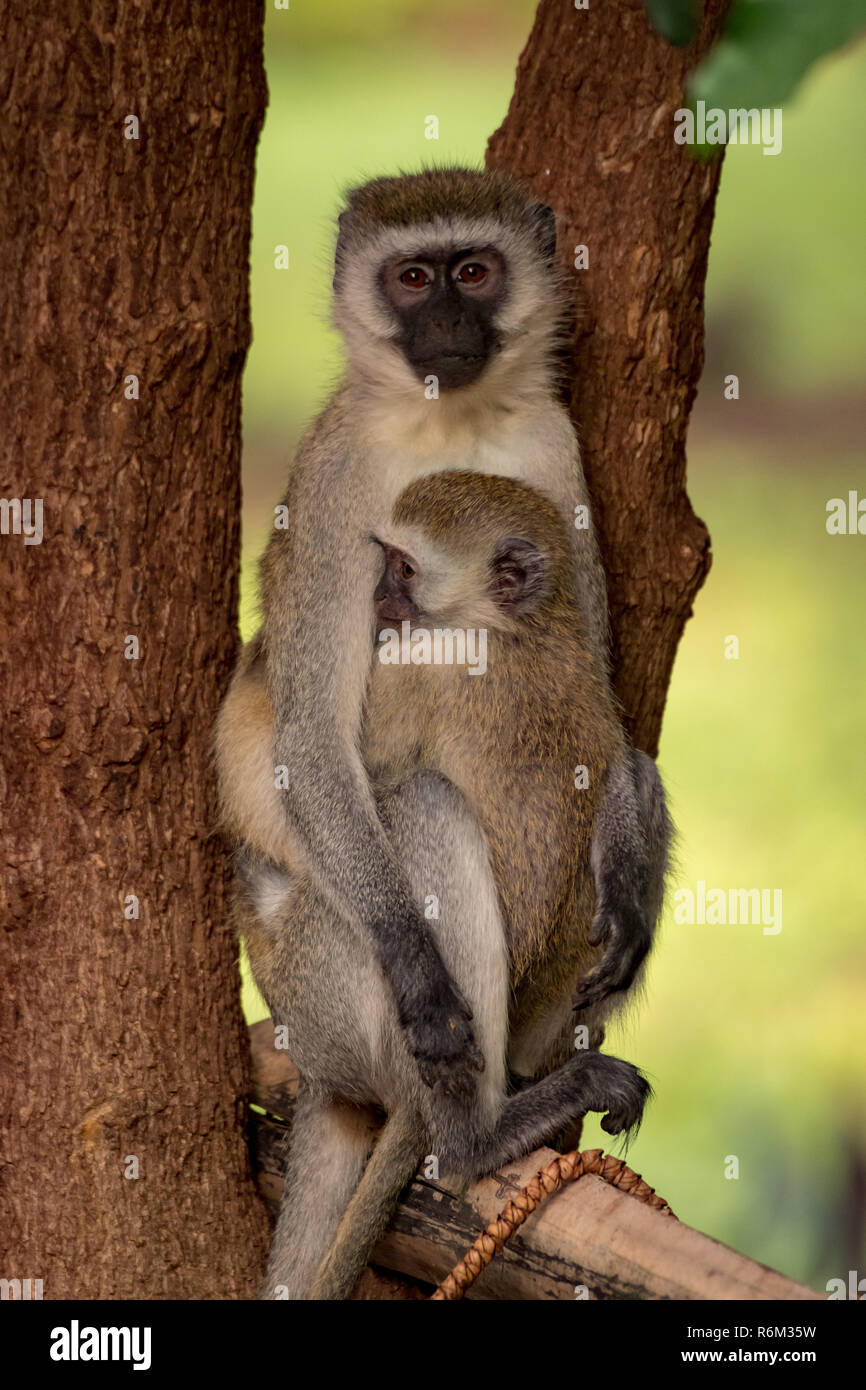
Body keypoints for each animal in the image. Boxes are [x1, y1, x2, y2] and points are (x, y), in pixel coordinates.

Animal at [213, 167, 672, 1294]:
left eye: (472, 271)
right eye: (412, 279)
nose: (448, 324)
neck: (447, 423)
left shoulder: (556, 450)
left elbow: (603, 704)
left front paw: (624, 854)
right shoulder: (334, 485)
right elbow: (310, 746)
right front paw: (425, 979)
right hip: (328, 989)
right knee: (416, 807)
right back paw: (478, 1136)